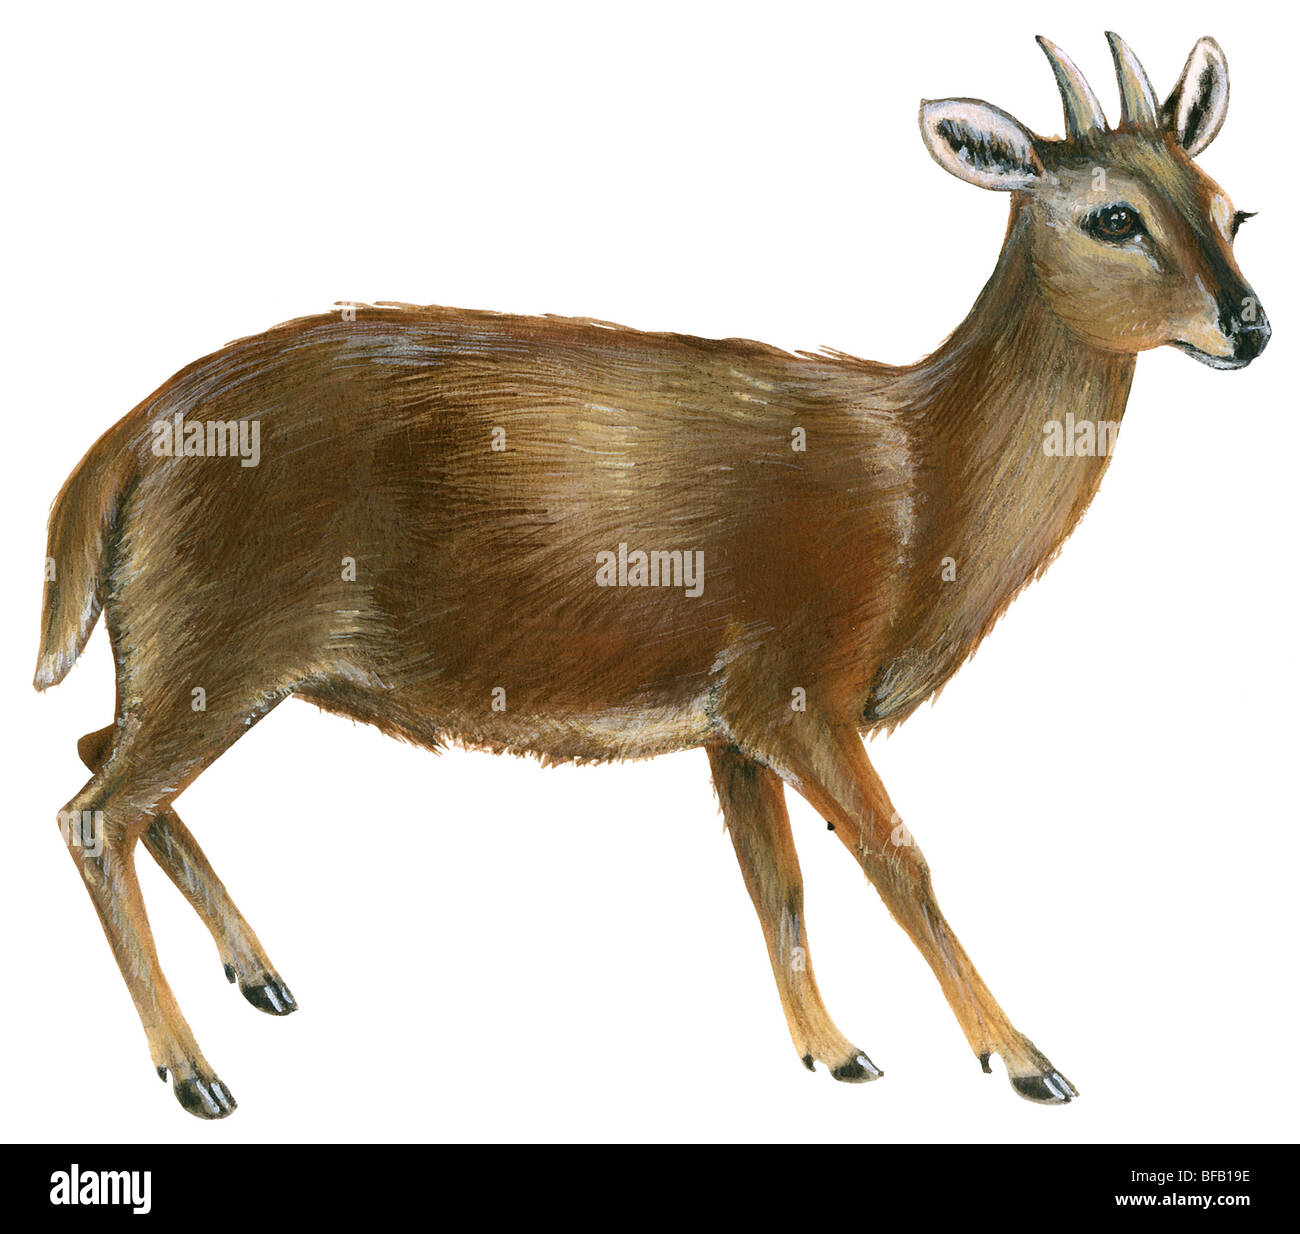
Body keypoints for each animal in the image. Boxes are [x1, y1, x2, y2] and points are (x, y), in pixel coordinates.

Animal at [36, 33, 1268, 1119]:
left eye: (1229, 210)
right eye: (1113, 216)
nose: (1249, 322)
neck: (923, 491)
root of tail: (124, 445)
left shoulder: (729, 716)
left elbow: (779, 881)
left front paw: (833, 1050)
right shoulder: (794, 676)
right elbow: (898, 859)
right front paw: (1024, 1060)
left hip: (191, 647)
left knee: (102, 760)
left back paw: (261, 976)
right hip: (218, 631)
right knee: (95, 812)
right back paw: (194, 1072)